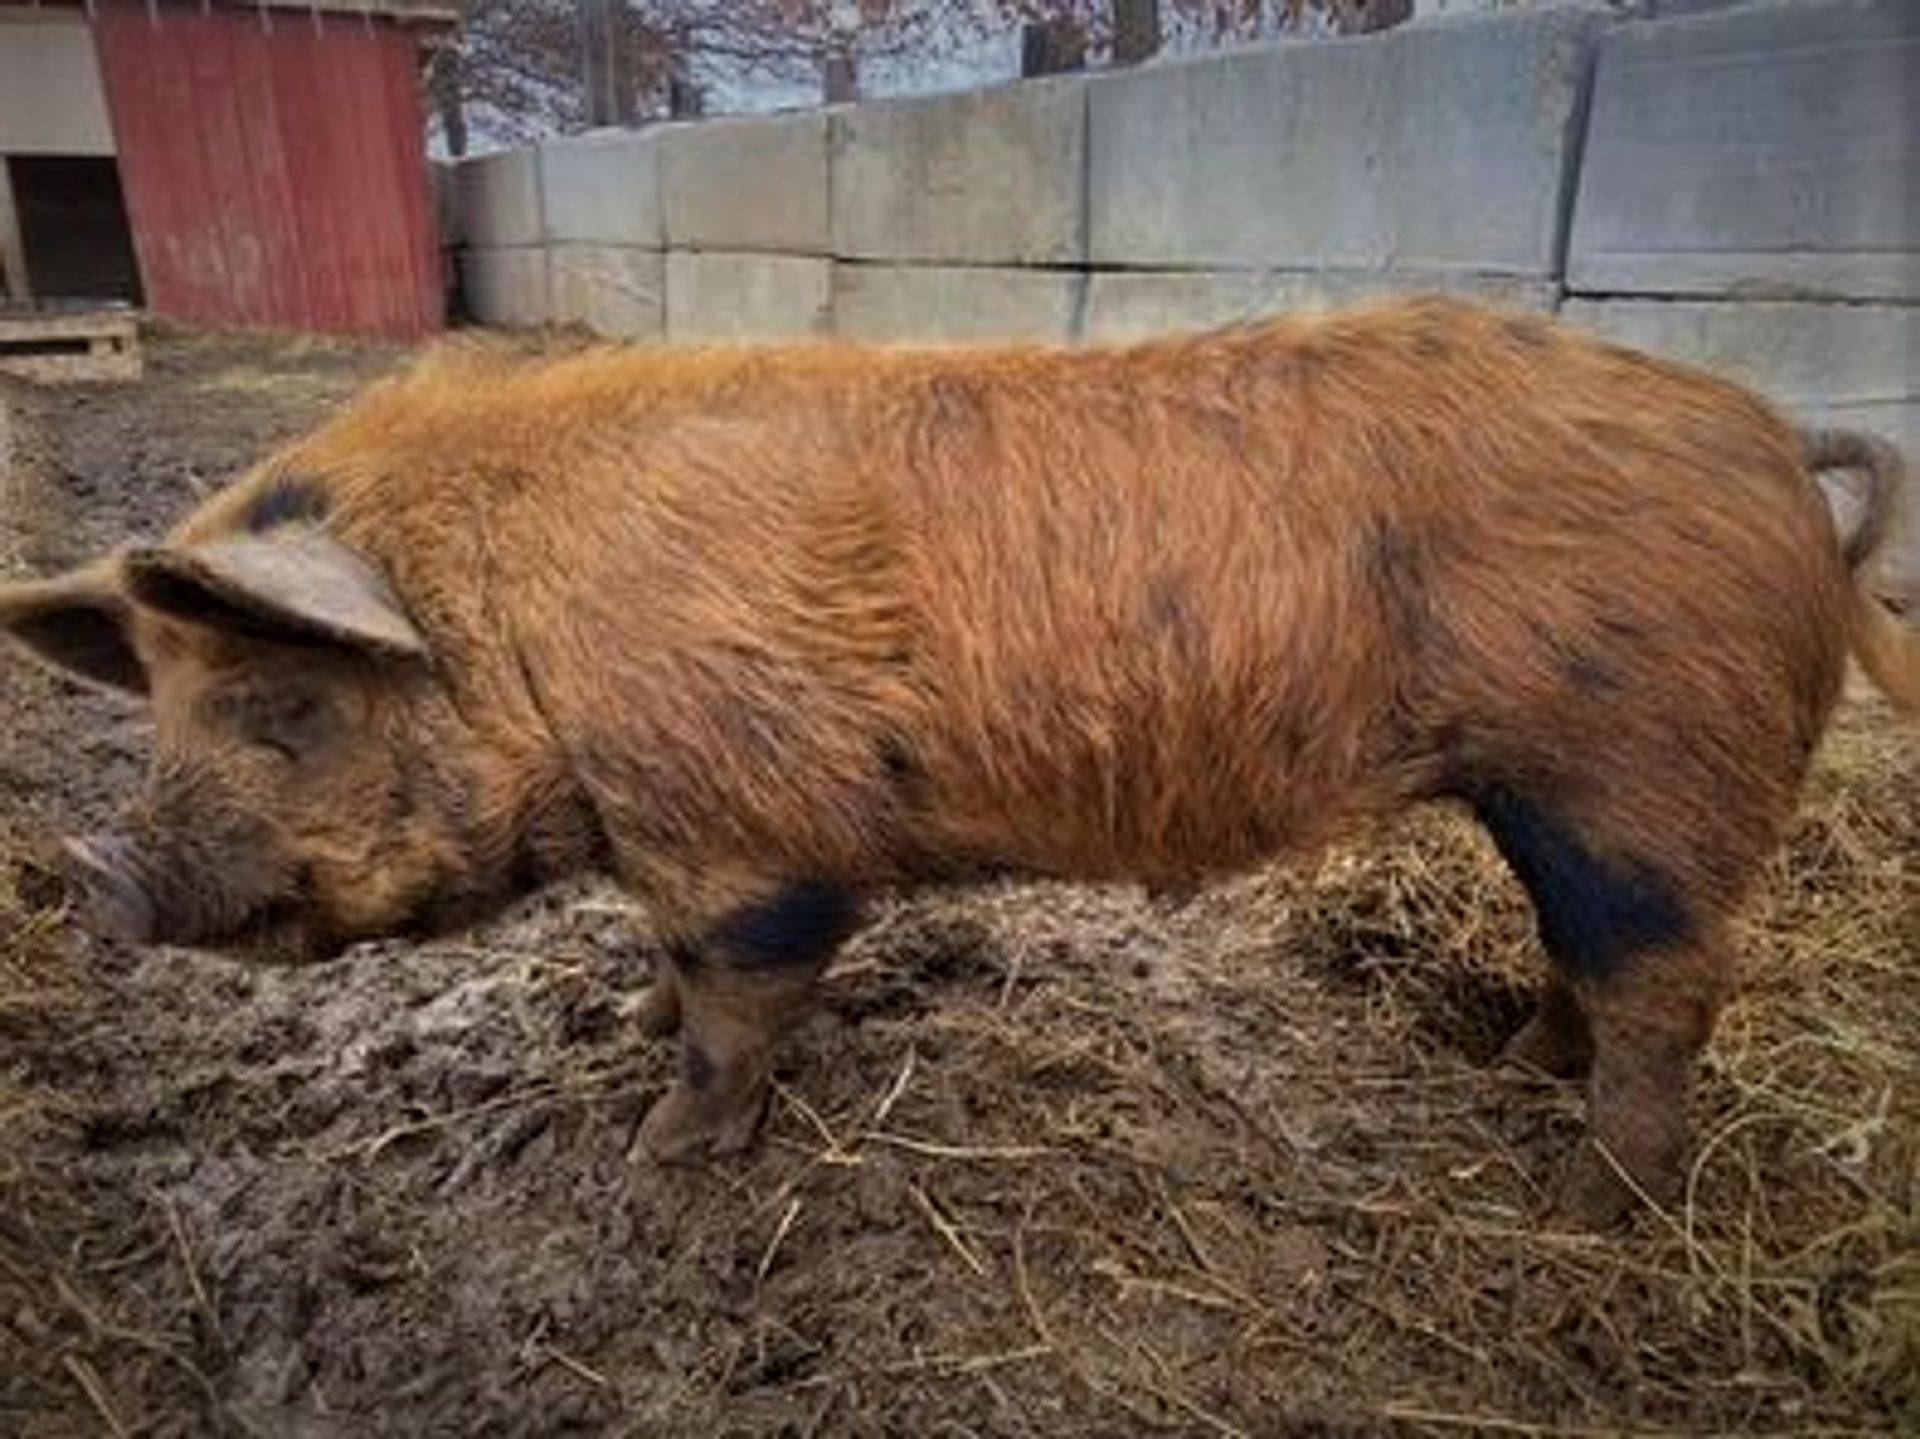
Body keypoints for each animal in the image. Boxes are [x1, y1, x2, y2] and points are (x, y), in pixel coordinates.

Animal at [4, 297, 1916, 1224]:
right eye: (157, 700)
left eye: (285, 705)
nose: (96, 867)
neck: (518, 618)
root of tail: (1768, 438)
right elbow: (664, 966)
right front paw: (624, 1022)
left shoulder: (751, 838)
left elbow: (736, 1003)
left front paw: (657, 1159)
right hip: (1577, 795)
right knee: (1591, 964)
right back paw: (1517, 1067)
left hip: (1642, 776)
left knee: (1670, 983)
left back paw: (1589, 1198)